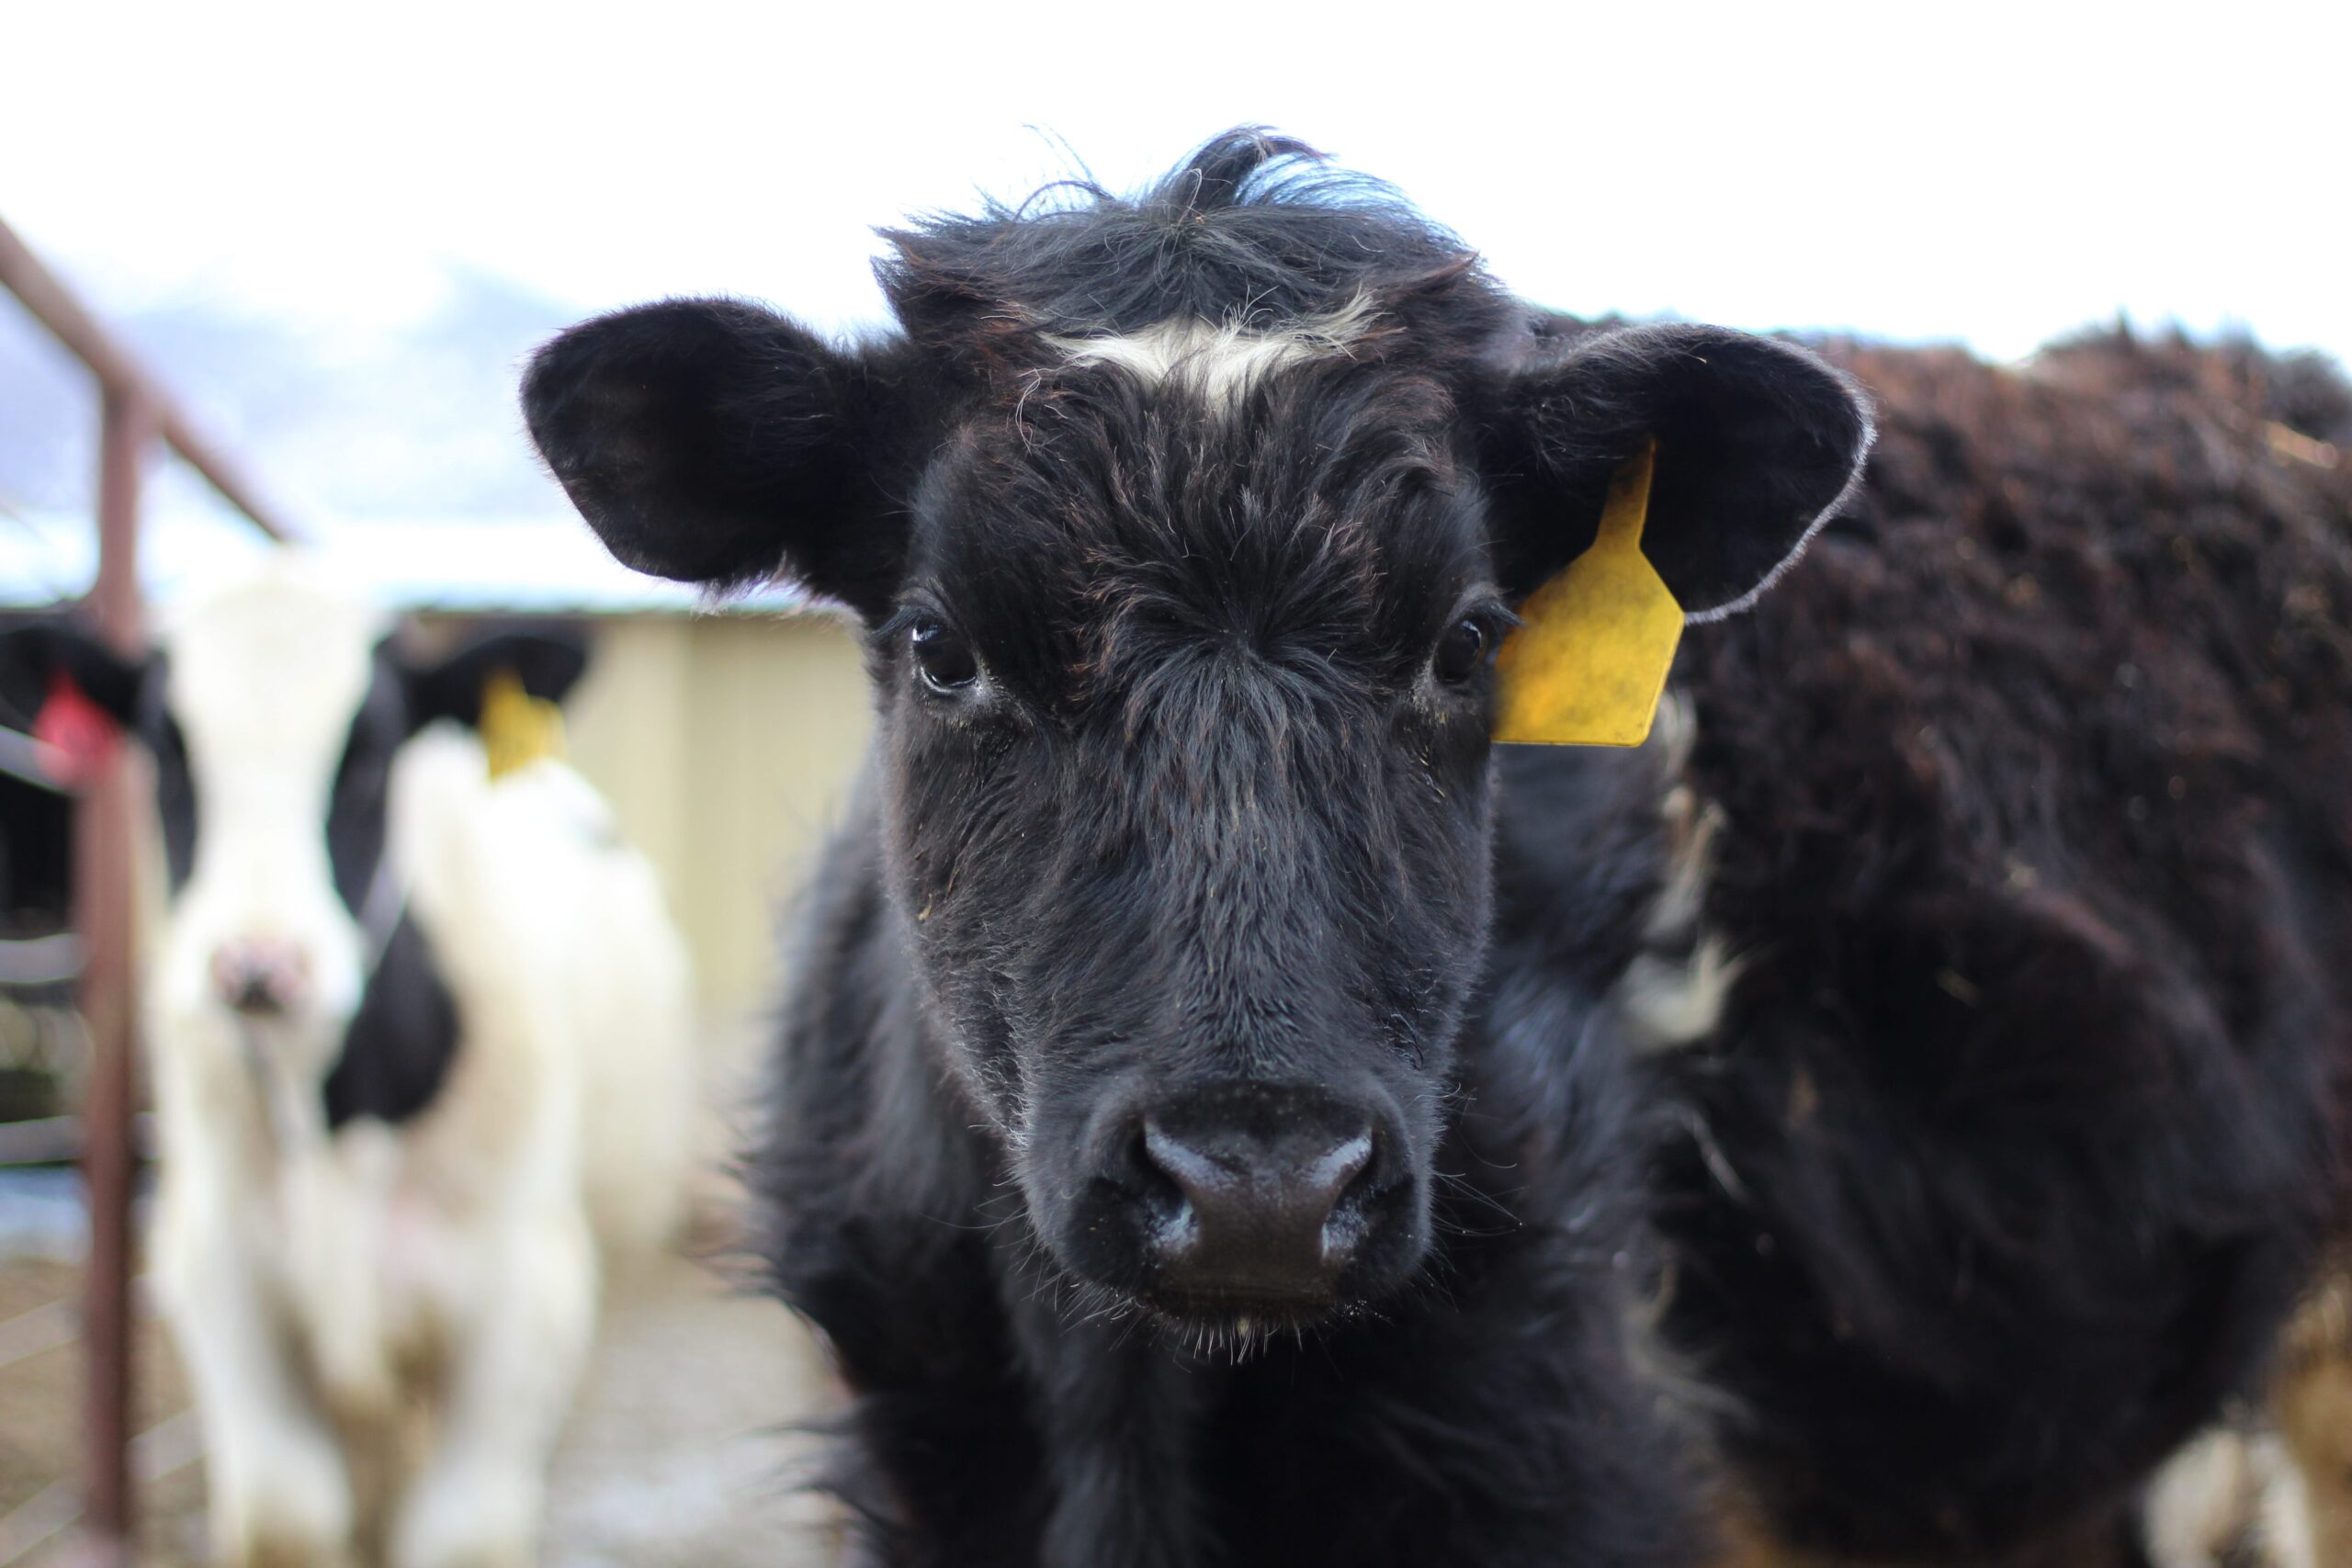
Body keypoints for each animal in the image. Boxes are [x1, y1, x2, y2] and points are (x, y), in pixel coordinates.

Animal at [8, 556, 696, 1568]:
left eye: (369, 755)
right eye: (169, 753)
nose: (258, 965)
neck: (337, 1106)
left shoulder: (520, 1299)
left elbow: (461, 1534)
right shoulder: (225, 1279)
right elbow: (288, 1517)